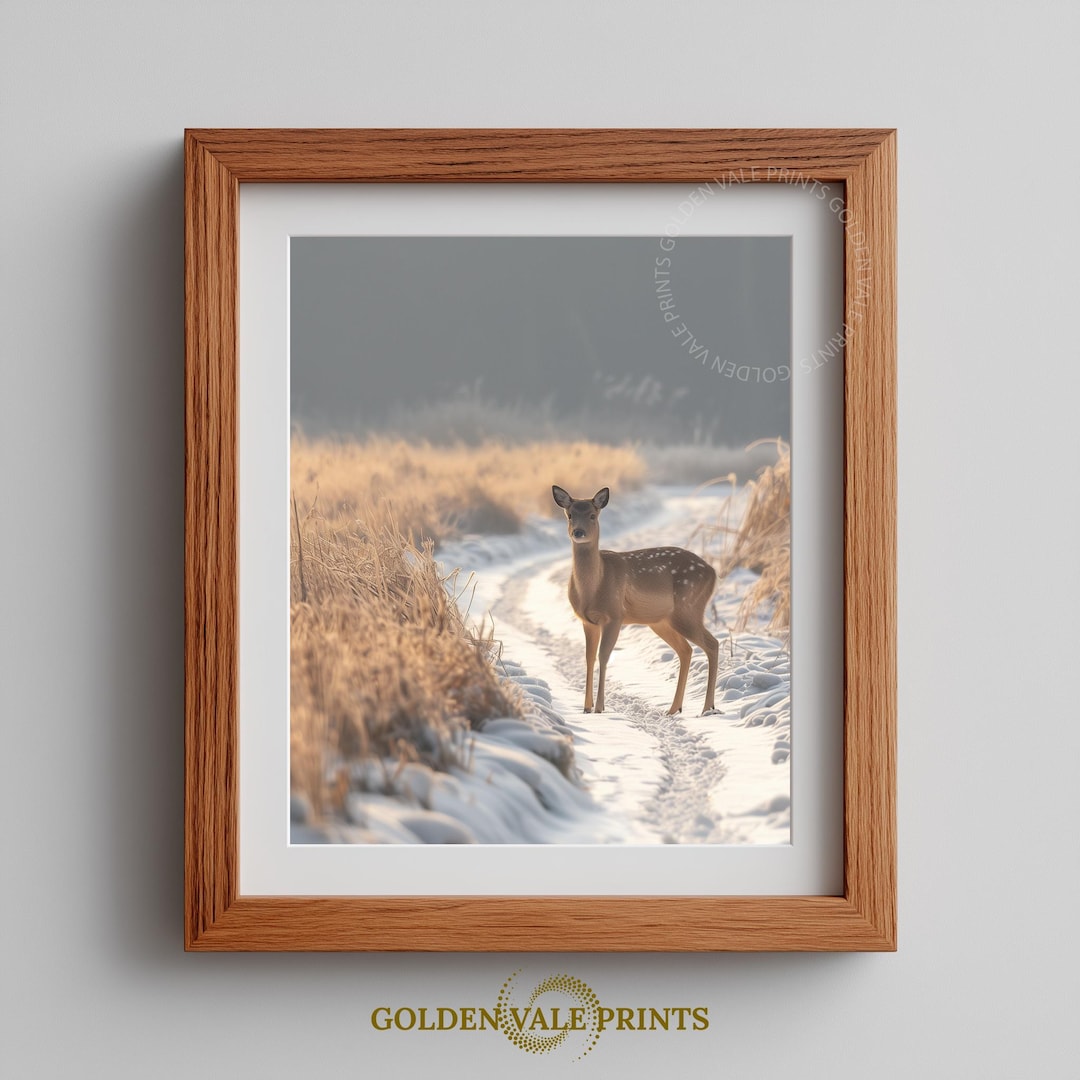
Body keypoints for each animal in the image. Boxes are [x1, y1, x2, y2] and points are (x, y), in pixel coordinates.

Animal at [552, 485, 719, 716]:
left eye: (593, 515)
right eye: (570, 515)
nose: (578, 532)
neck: (593, 588)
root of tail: (713, 572)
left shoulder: (615, 615)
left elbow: (604, 656)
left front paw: (600, 707)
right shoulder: (587, 621)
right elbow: (588, 657)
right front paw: (586, 707)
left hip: (688, 607)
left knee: (712, 644)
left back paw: (707, 708)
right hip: (661, 621)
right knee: (686, 649)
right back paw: (674, 708)